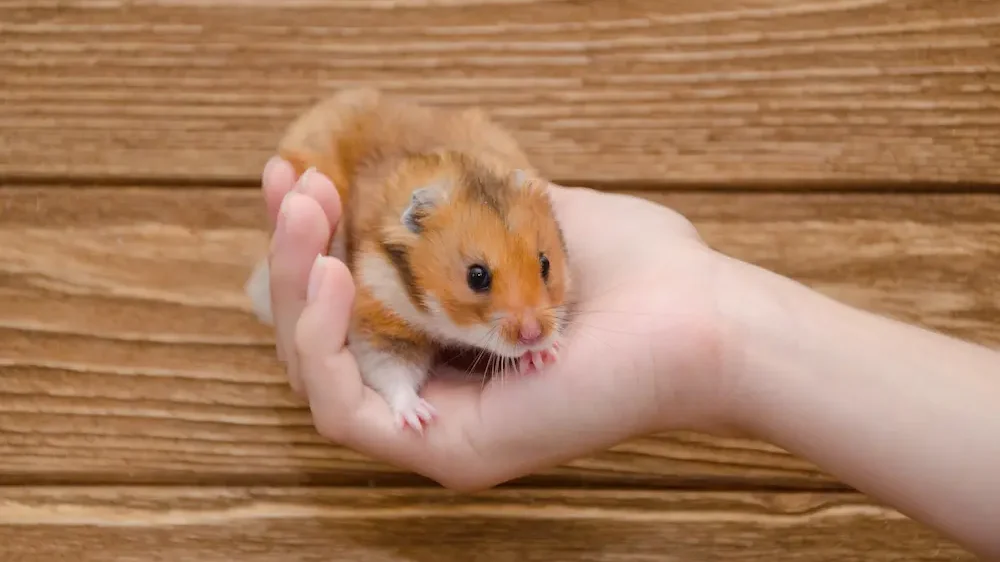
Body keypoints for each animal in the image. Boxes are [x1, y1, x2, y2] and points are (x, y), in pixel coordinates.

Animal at [245, 88, 572, 432]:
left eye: (545, 264)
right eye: (477, 276)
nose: (534, 335)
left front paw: (546, 353)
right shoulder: (379, 315)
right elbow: (392, 369)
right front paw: (419, 418)